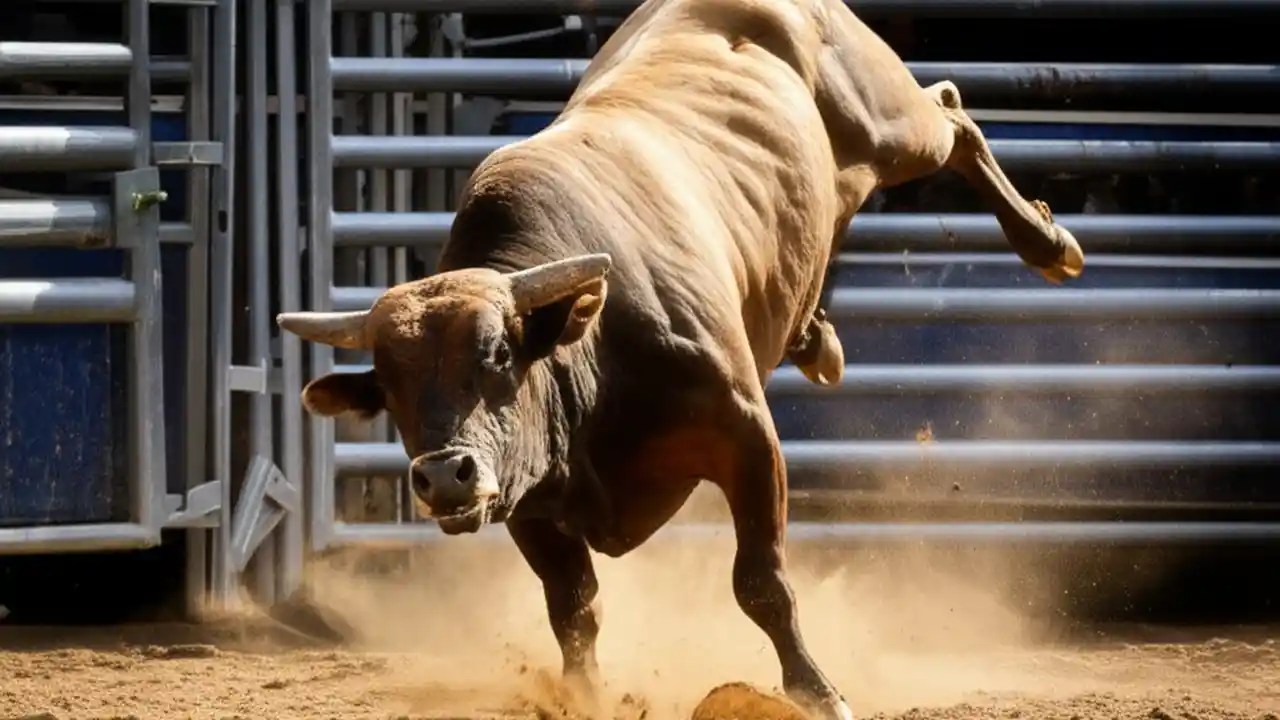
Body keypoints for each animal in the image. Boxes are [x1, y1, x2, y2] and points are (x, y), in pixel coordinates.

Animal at [277, 0, 1084, 717]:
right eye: (389, 385)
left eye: (500, 353)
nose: (446, 475)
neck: (591, 360)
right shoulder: (528, 499)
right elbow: (573, 608)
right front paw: (584, 696)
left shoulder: (746, 437)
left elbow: (761, 582)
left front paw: (817, 692)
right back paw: (816, 336)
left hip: (889, 122)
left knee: (950, 112)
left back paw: (1048, 242)